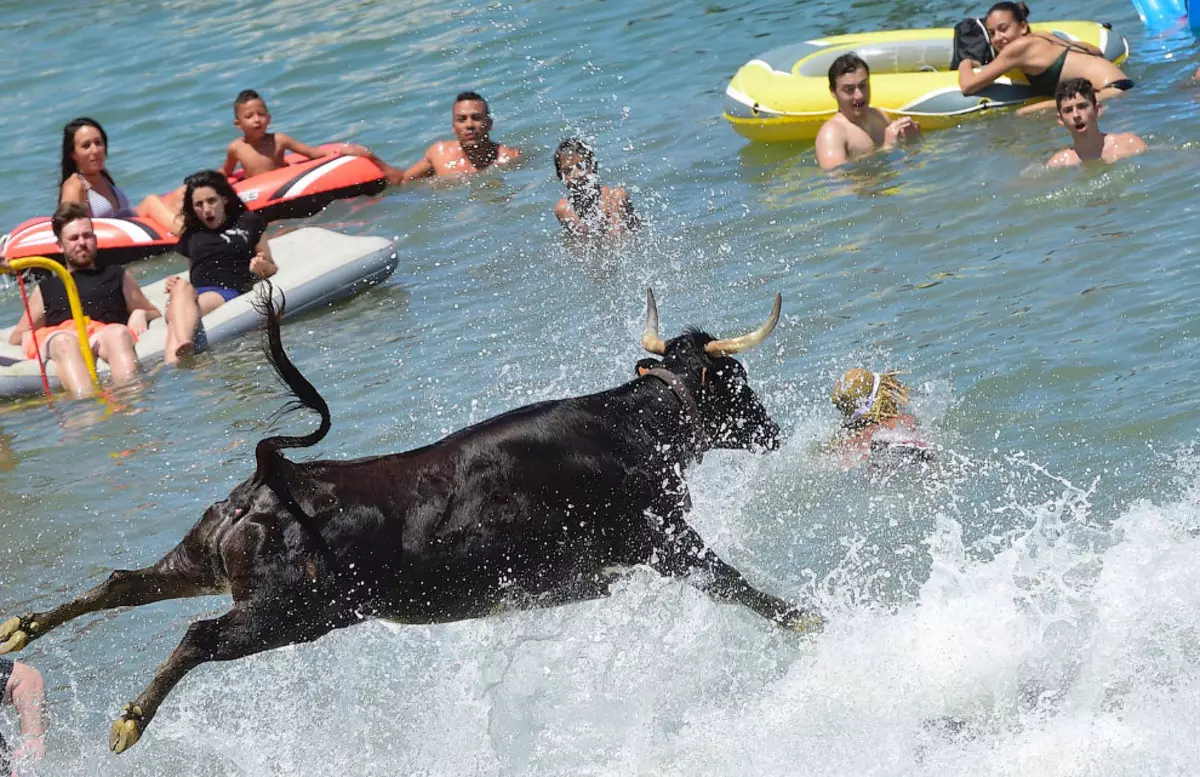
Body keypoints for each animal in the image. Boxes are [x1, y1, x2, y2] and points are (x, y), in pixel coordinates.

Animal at [0, 285, 825, 753]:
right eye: (737, 376)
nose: (772, 429)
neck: (624, 425)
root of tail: (275, 478)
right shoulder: (663, 540)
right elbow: (737, 586)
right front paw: (809, 617)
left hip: (206, 553)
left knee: (123, 582)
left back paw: (23, 627)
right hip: (289, 613)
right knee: (198, 635)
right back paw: (129, 719)